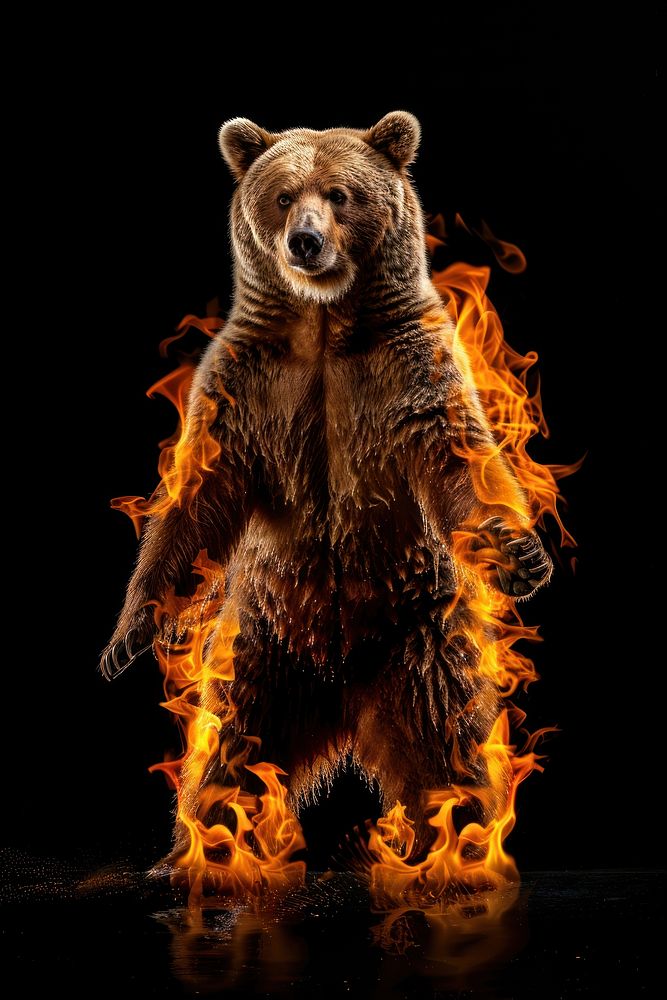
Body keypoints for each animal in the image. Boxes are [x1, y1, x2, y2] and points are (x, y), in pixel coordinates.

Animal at [101, 112, 552, 861]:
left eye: (340, 194)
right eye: (283, 196)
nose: (304, 241)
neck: (322, 324)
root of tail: (343, 699)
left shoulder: (409, 368)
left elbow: (460, 460)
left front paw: (521, 555)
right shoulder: (244, 383)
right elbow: (198, 497)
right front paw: (129, 633)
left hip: (420, 638)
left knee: (448, 745)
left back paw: (465, 844)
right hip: (259, 645)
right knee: (227, 749)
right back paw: (200, 849)